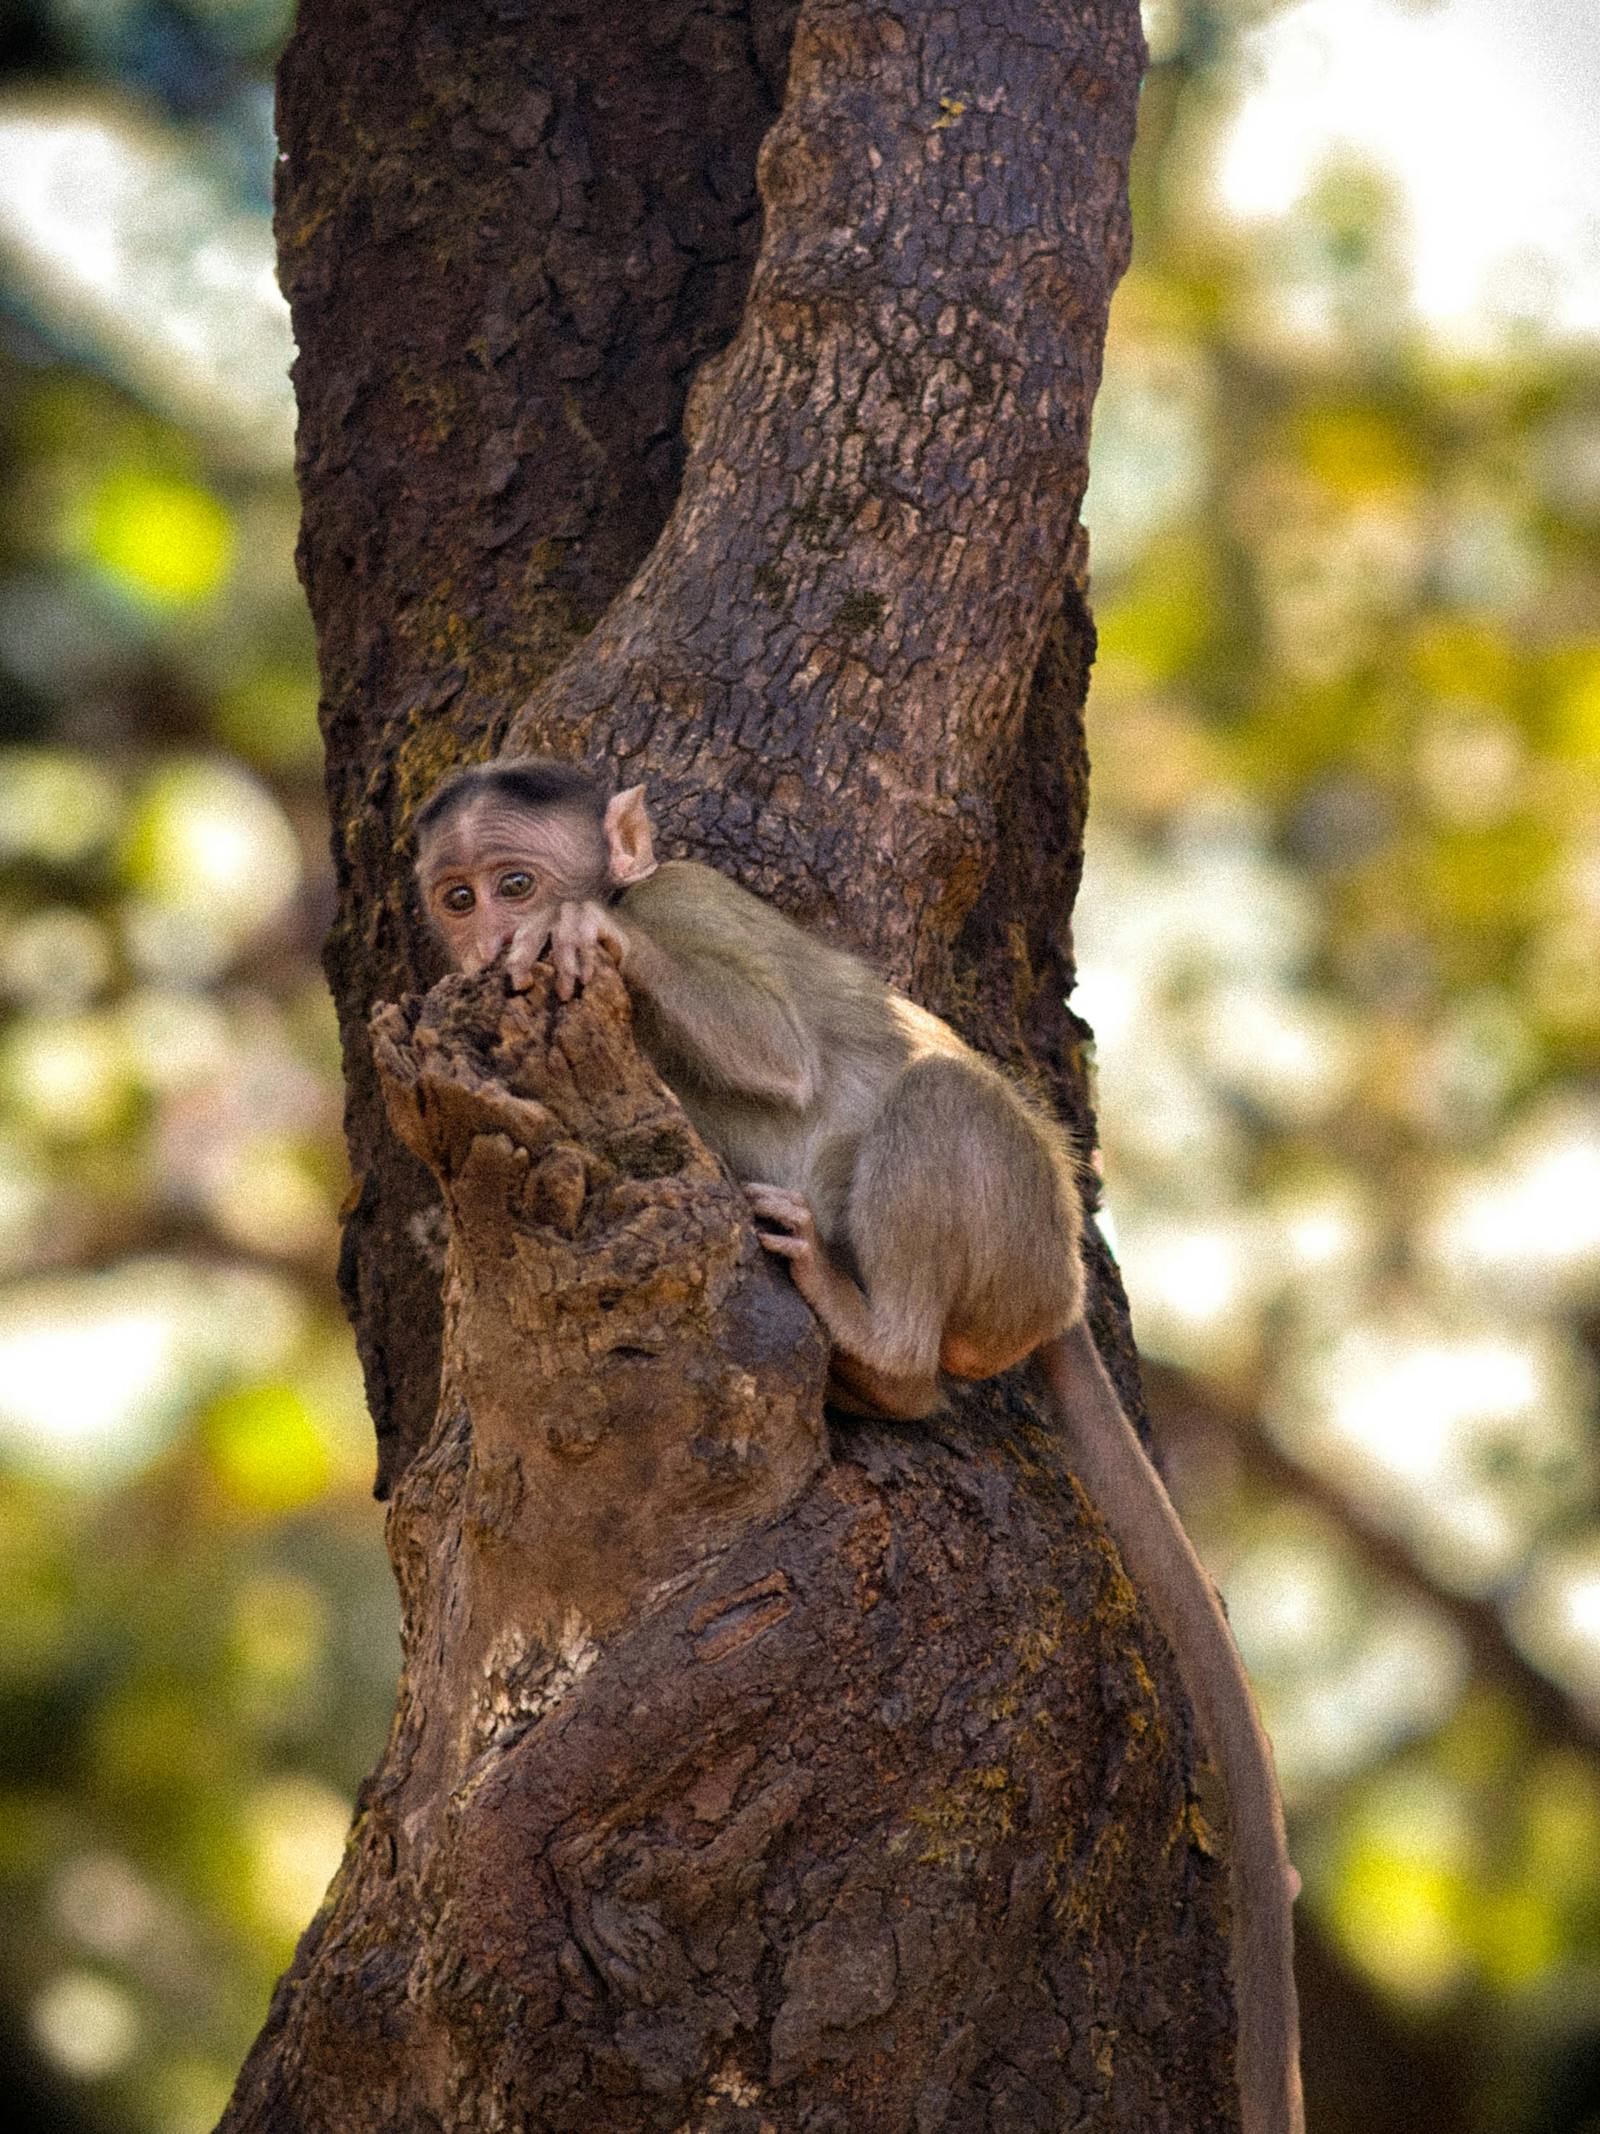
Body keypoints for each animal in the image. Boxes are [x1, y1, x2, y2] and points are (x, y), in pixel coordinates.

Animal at [413, 757, 1304, 2134]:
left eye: (512, 881)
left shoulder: (688, 896)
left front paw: (583, 936)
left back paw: (880, 1352)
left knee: (932, 1098)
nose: (483, 936)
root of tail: (1056, 1290)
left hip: (1009, 1230)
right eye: (454, 897)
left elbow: (776, 1045)